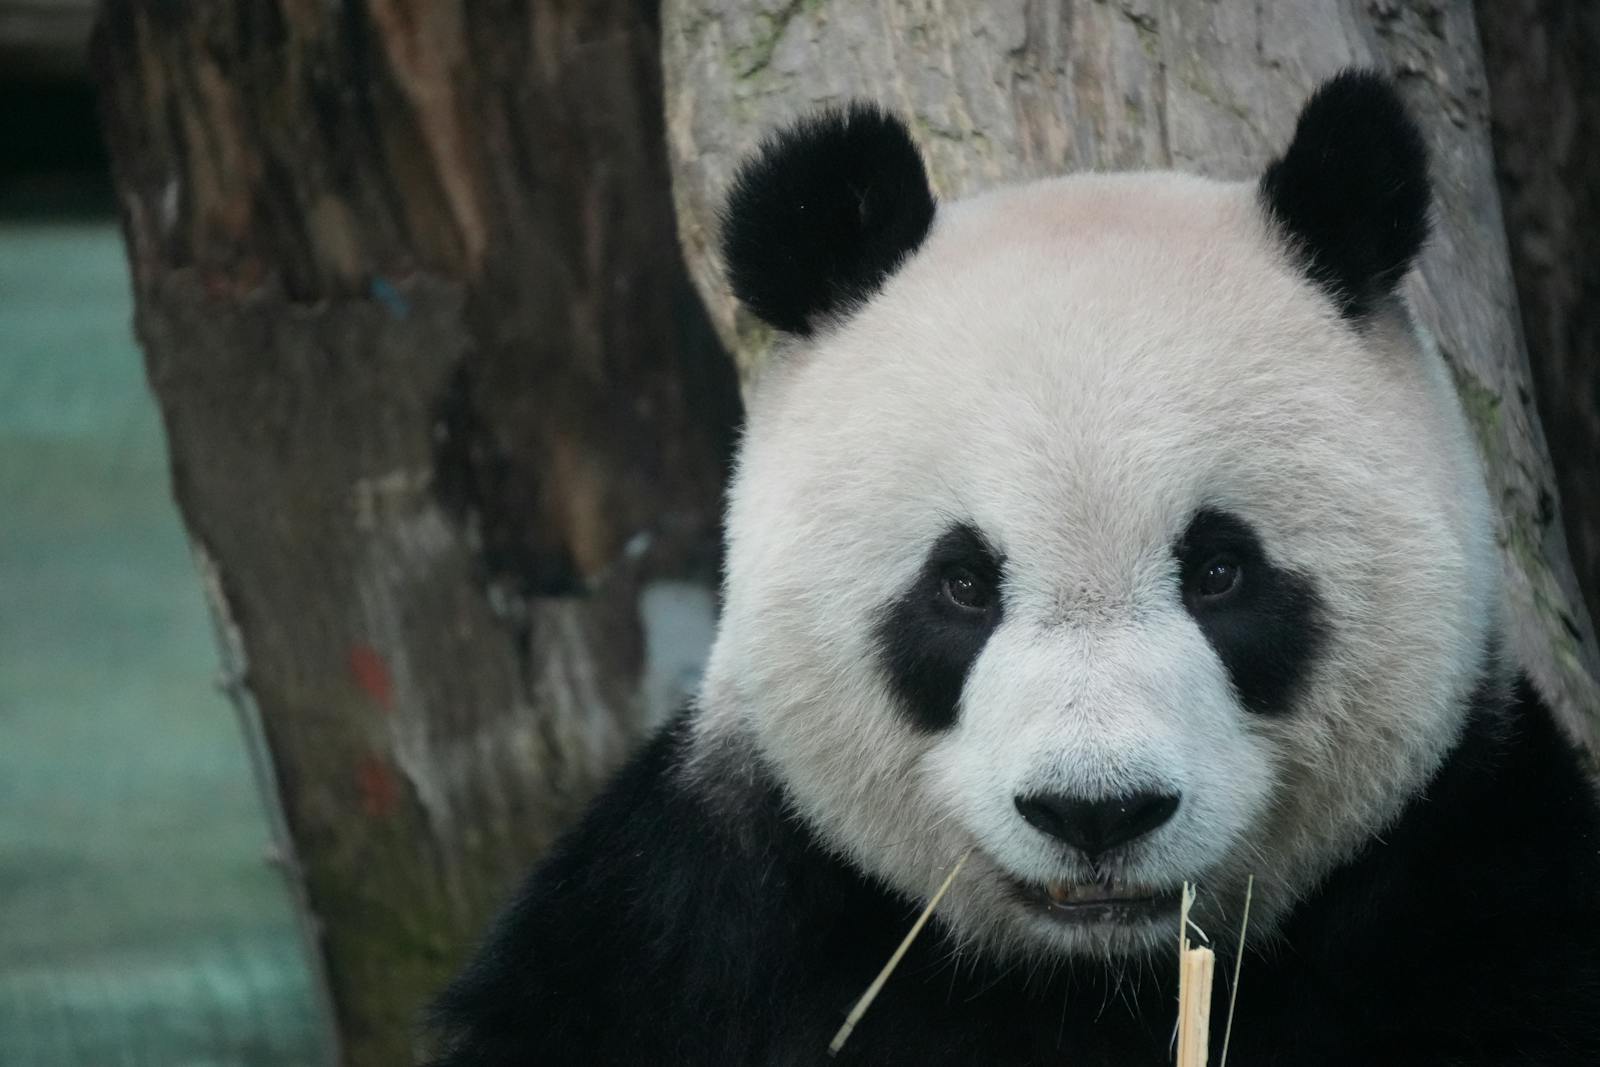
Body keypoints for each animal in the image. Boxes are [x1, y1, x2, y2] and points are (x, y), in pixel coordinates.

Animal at [428, 71, 1600, 1065]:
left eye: (1221, 572)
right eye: (961, 583)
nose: (1096, 812)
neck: (1092, 977)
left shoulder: (1467, 889)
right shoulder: (702, 924)